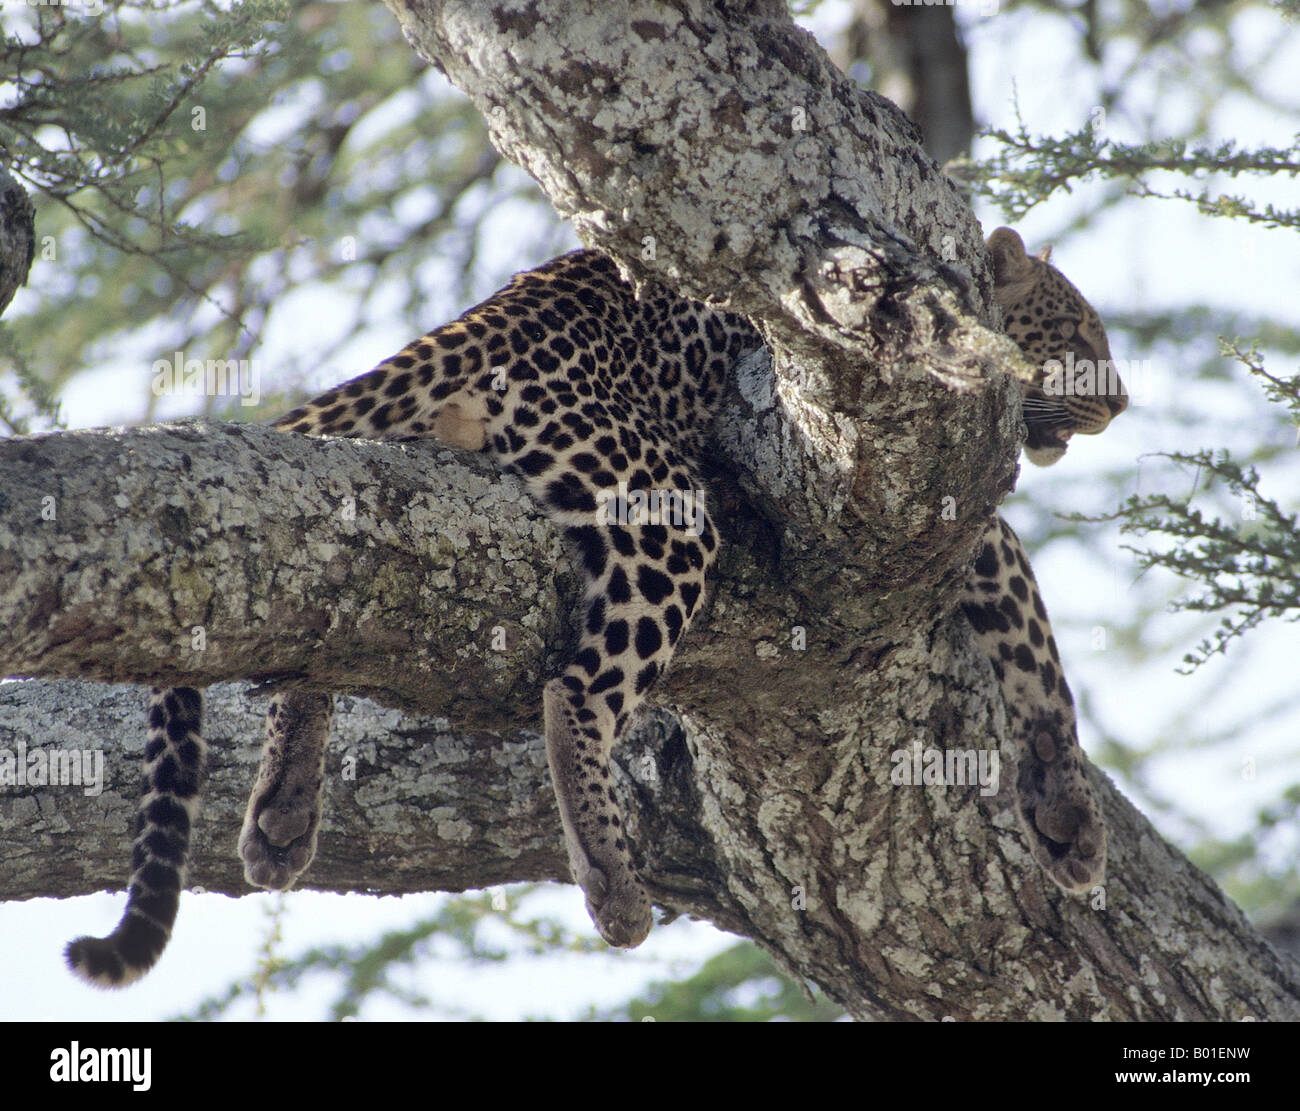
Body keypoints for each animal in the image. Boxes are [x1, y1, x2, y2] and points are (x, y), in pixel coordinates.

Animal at [64, 226, 1126, 987]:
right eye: (1077, 334)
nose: (1117, 402)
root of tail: (492, 316)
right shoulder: (938, 509)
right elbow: (1035, 637)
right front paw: (1072, 822)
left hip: (400, 489)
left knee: (330, 624)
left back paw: (282, 814)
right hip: (664, 517)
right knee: (572, 688)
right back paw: (612, 882)